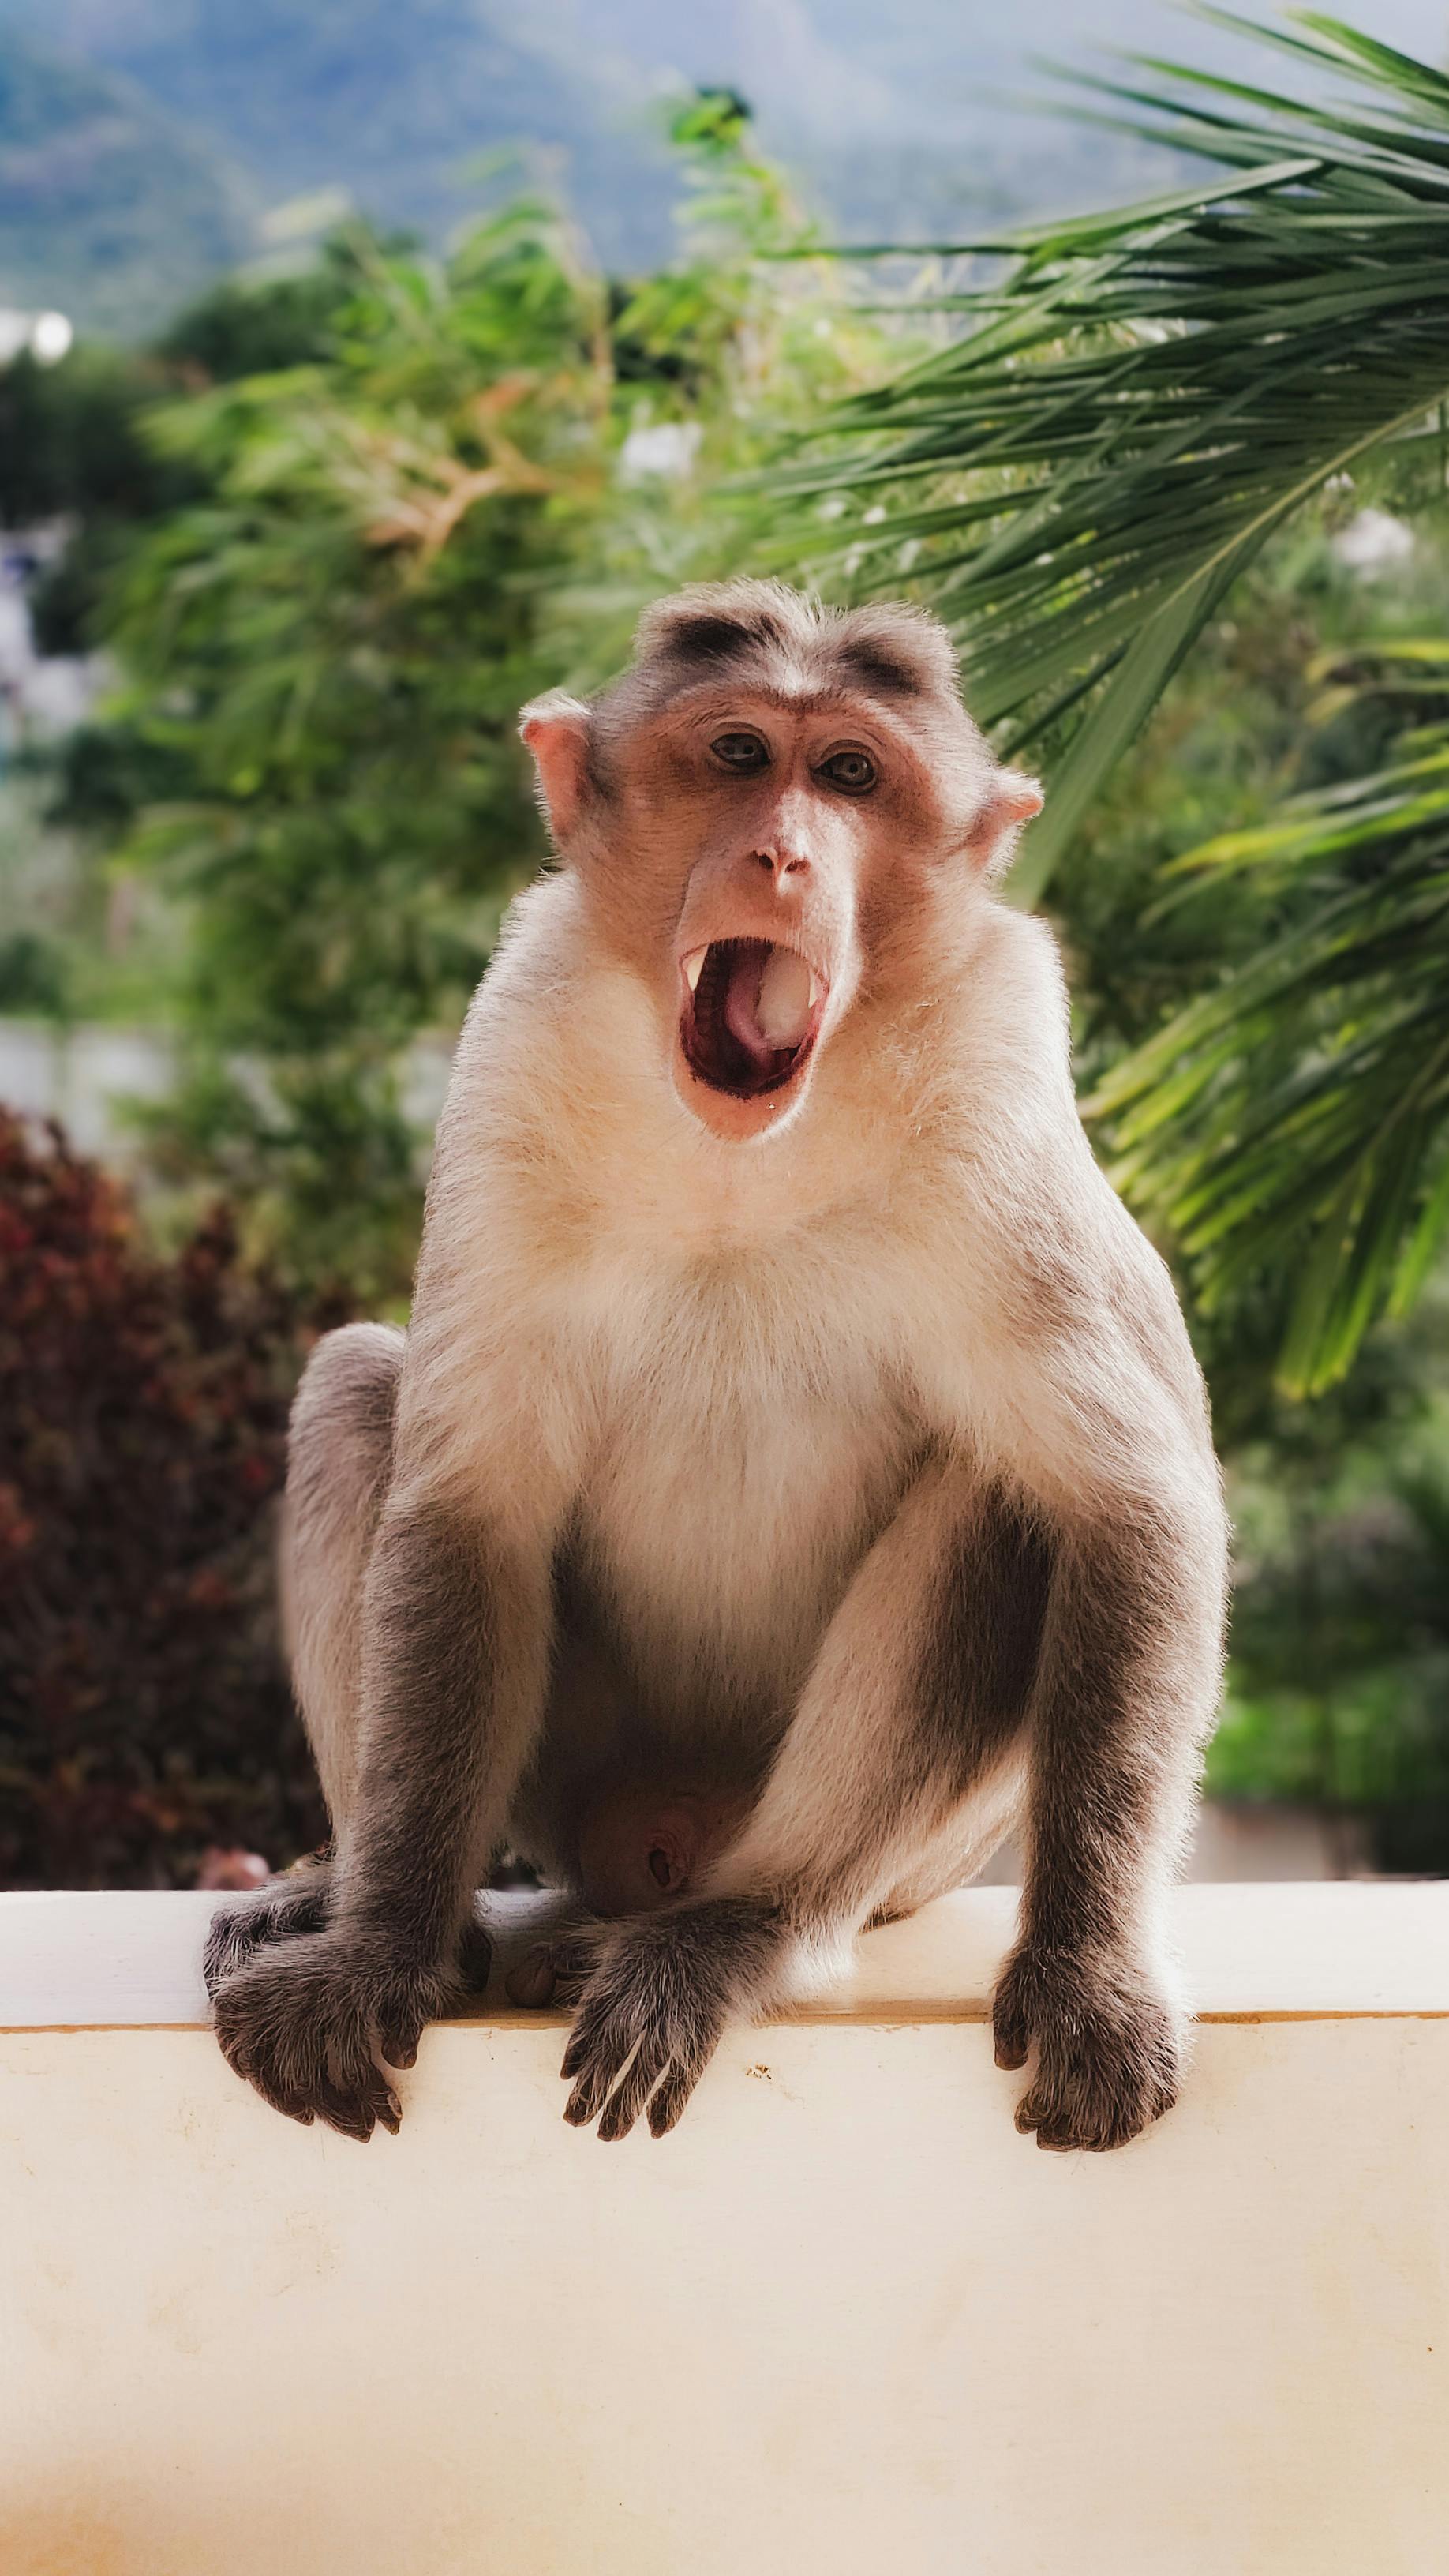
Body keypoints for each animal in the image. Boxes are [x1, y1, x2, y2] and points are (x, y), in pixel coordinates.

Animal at [204, 577, 1228, 2153]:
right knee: (361, 1389)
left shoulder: (1003, 1071)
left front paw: (1092, 1976)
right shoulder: (513, 1038)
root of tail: (659, 1843)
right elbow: (469, 1506)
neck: (739, 1153)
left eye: (852, 774)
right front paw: (379, 1944)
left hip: (902, 1861)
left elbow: (1133, 1503)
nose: (783, 853)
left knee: (1001, 1493)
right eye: (742, 754)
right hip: (569, 1783)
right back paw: (391, 1899)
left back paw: (736, 1927)